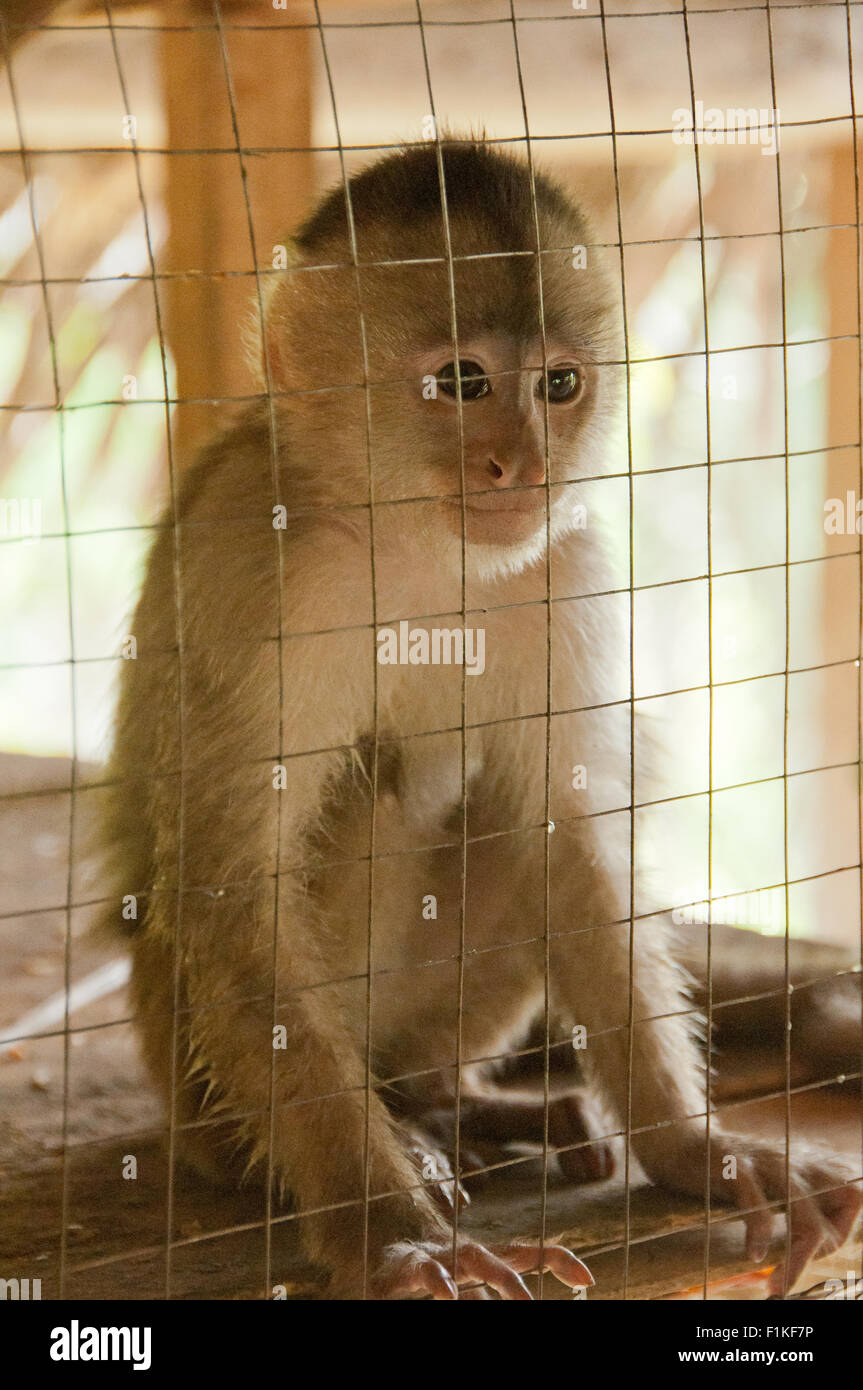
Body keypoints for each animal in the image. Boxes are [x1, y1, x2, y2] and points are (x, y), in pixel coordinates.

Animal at [101, 138, 861, 1299]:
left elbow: (568, 831)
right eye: (462, 382)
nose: (523, 465)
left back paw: (452, 1102)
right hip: (187, 1088)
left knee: (504, 814)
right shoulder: (252, 570)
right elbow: (235, 898)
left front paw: (694, 1150)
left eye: (559, 384)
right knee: (361, 796)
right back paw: (375, 1145)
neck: (411, 539)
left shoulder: (560, 558)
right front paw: (388, 1233)